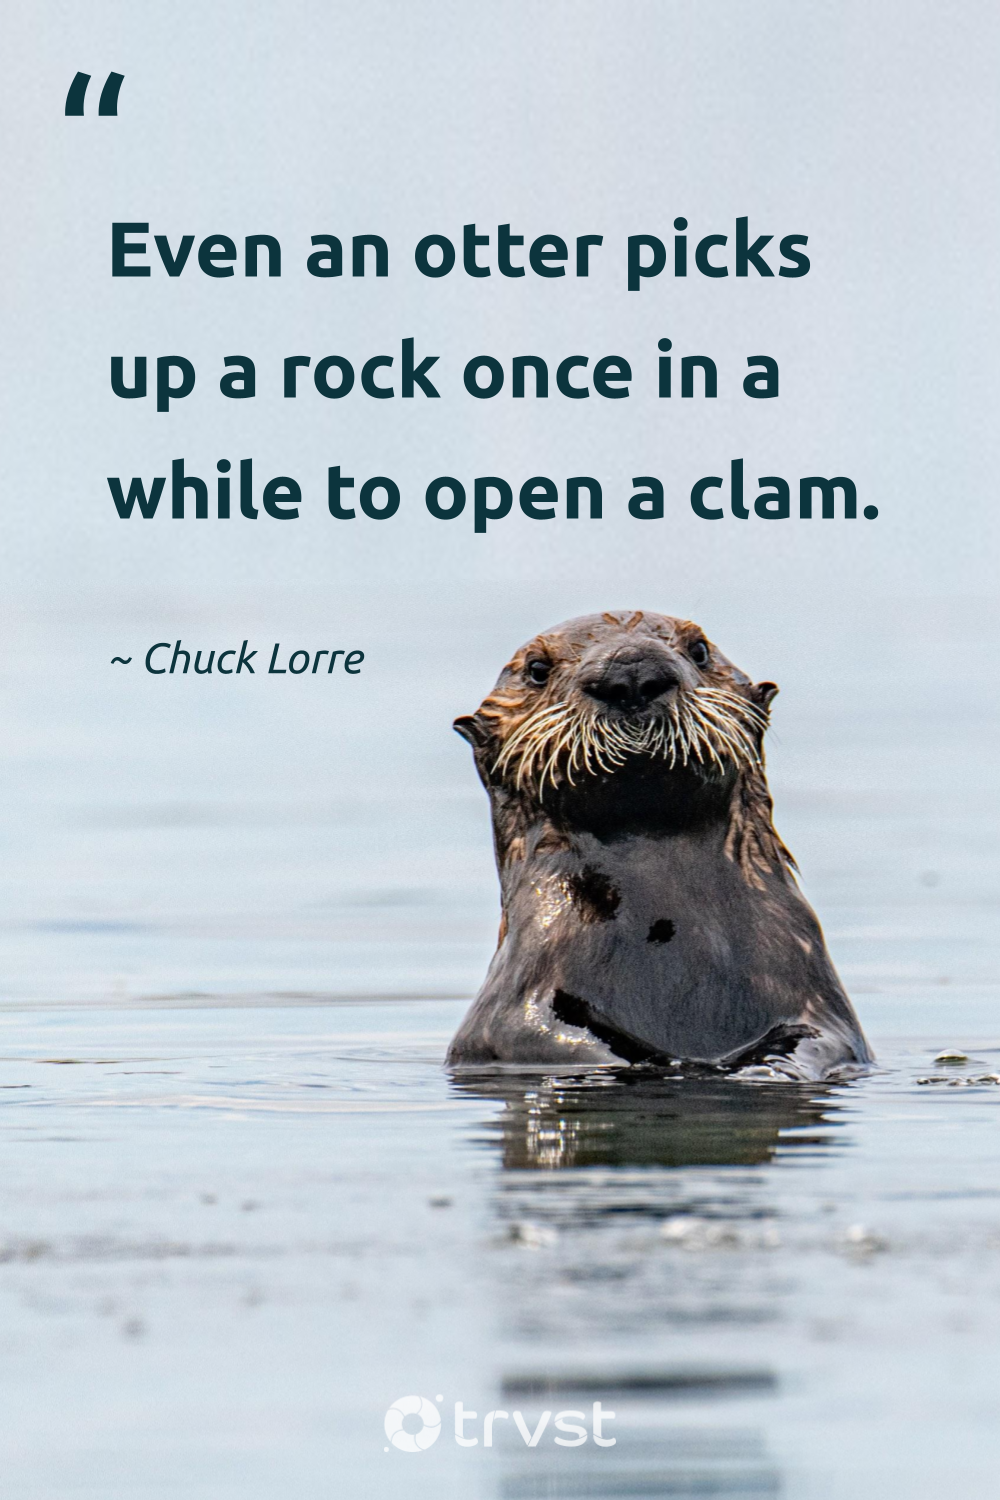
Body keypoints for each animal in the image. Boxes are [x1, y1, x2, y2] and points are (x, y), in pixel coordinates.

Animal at [448, 610, 871, 1080]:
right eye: (537, 669)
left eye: (699, 649)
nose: (629, 668)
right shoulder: (514, 1014)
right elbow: (531, 1033)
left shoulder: (819, 1002)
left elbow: (821, 1037)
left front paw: (763, 1067)